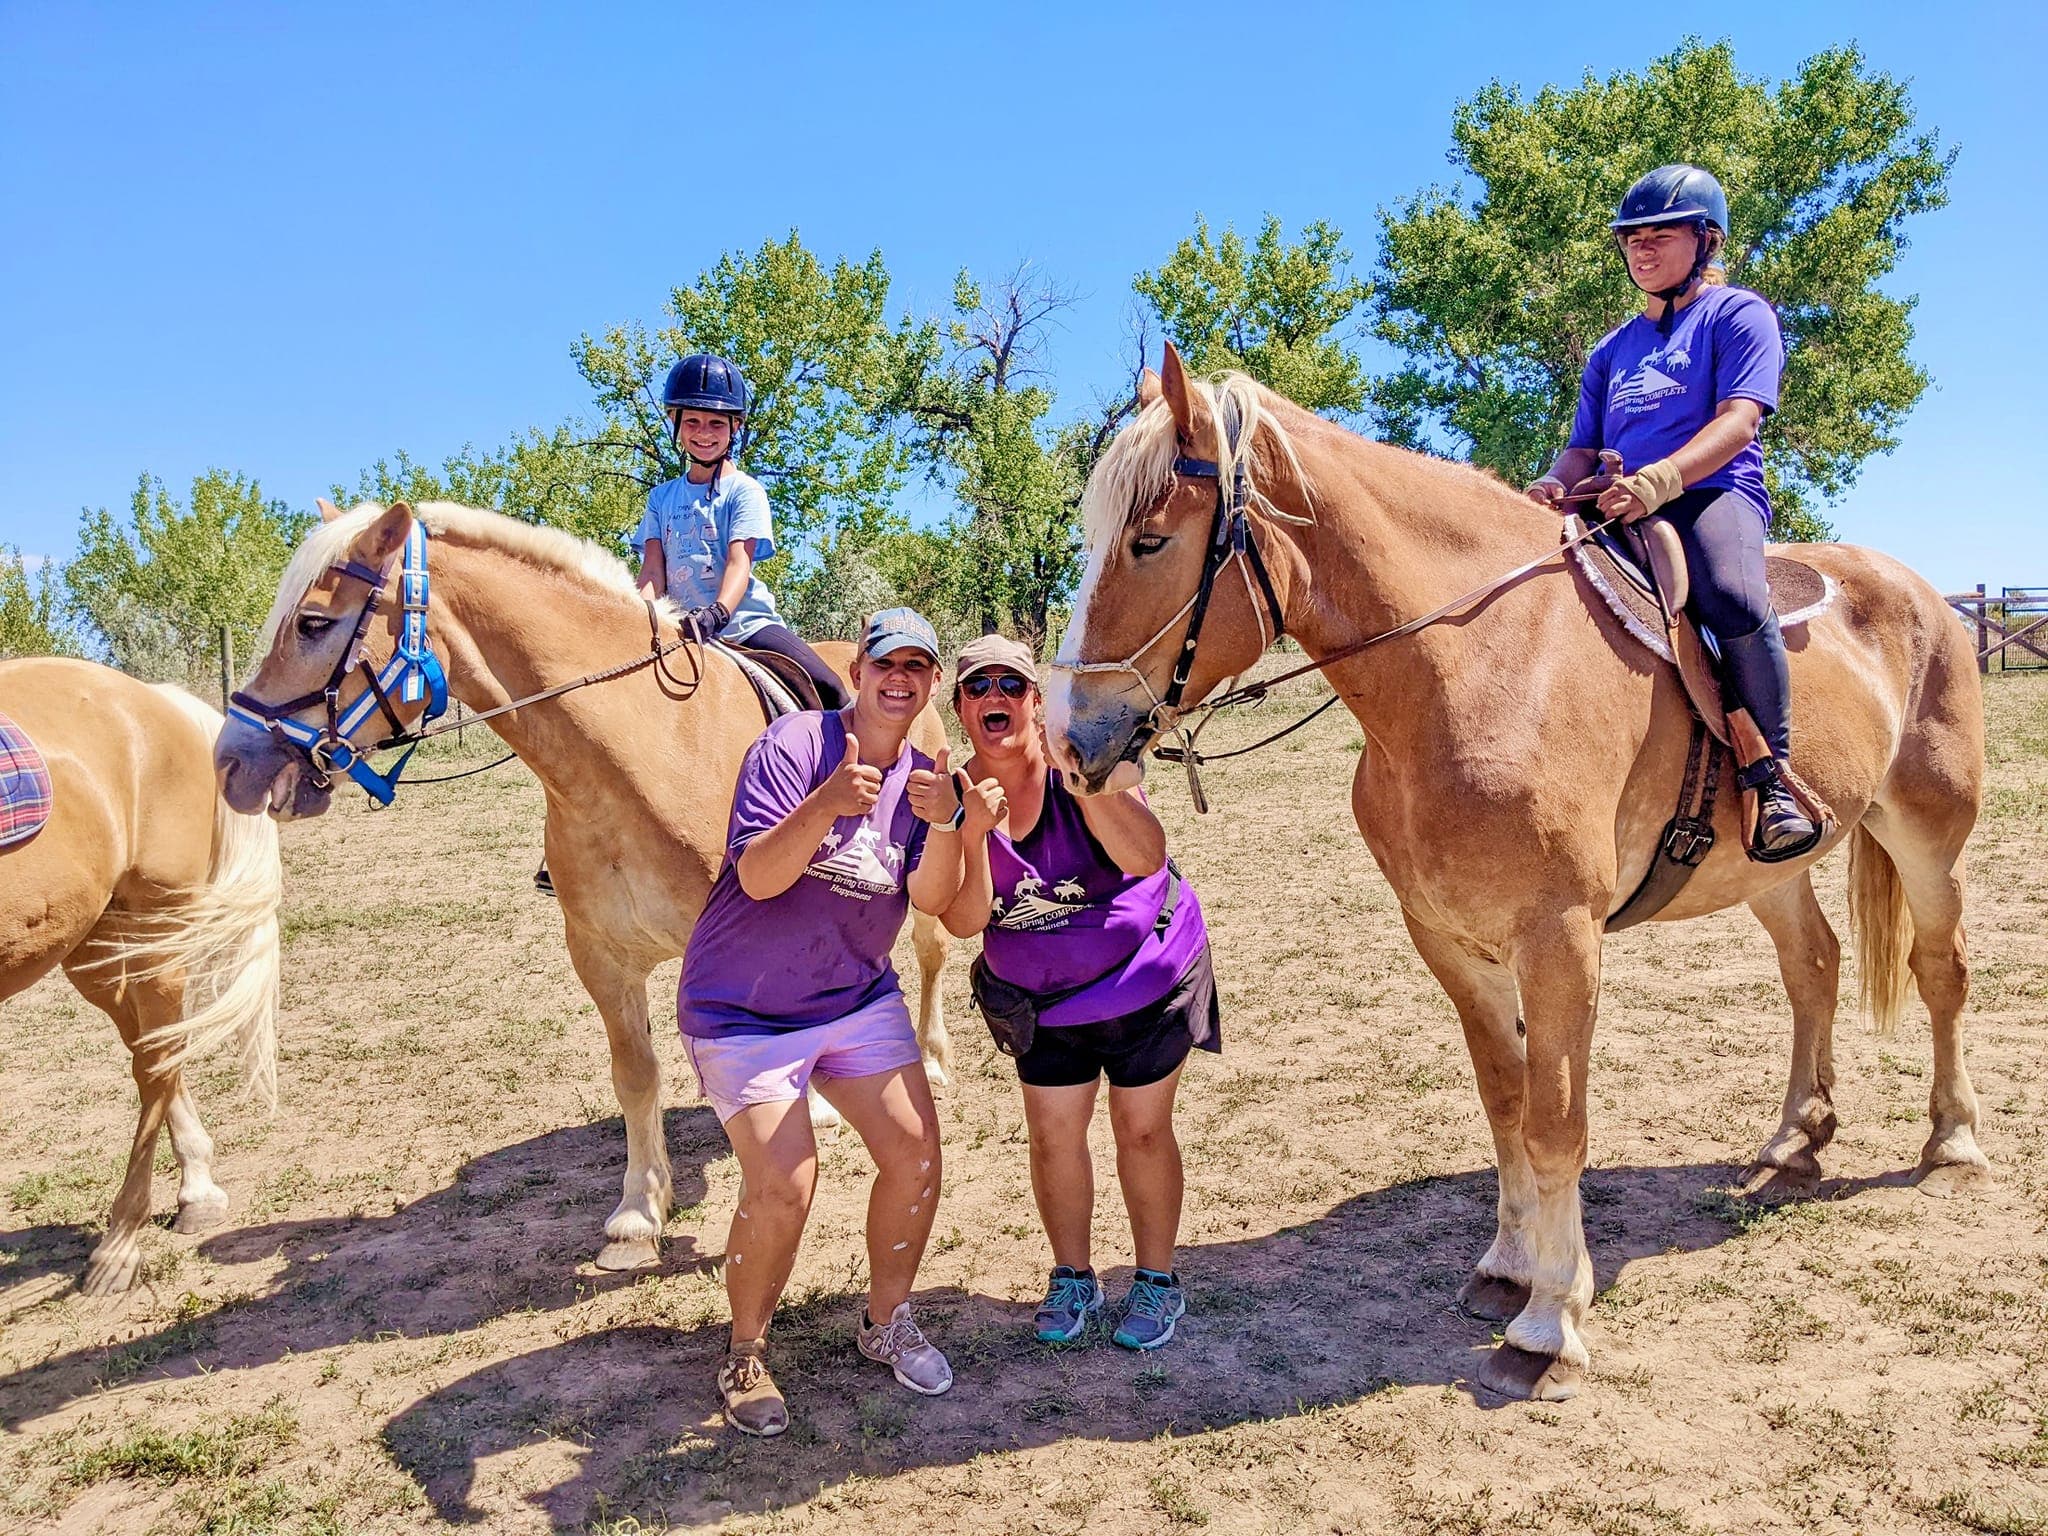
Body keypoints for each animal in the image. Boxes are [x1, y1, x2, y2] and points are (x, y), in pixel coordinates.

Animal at [0, 660, 282, 1295]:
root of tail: (157, 697)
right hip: (89, 941)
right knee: (149, 1046)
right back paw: (196, 1189)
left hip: (156, 923)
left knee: (156, 1060)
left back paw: (121, 1247)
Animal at [213, 500, 953, 1272]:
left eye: (313, 624)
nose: (232, 763)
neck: (642, 752)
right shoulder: (598, 953)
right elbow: (637, 1073)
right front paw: (637, 1214)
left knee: (926, 959)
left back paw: (927, 1063)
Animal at [1047, 344, 1986, 1401]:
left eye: (1151, 541)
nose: (1072, 741)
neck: (1481, 666)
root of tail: (1921, 593)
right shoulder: (1451, 940)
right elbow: (1505, 1104)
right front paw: (1506, 1270)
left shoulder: (1560, 939)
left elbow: (1555, 1121)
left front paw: (1548, 1324)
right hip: (1771, 869)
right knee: (1813, 969)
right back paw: (1794, 1141)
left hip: (1928, 836)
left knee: (1941, 972)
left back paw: (1952, 1144)